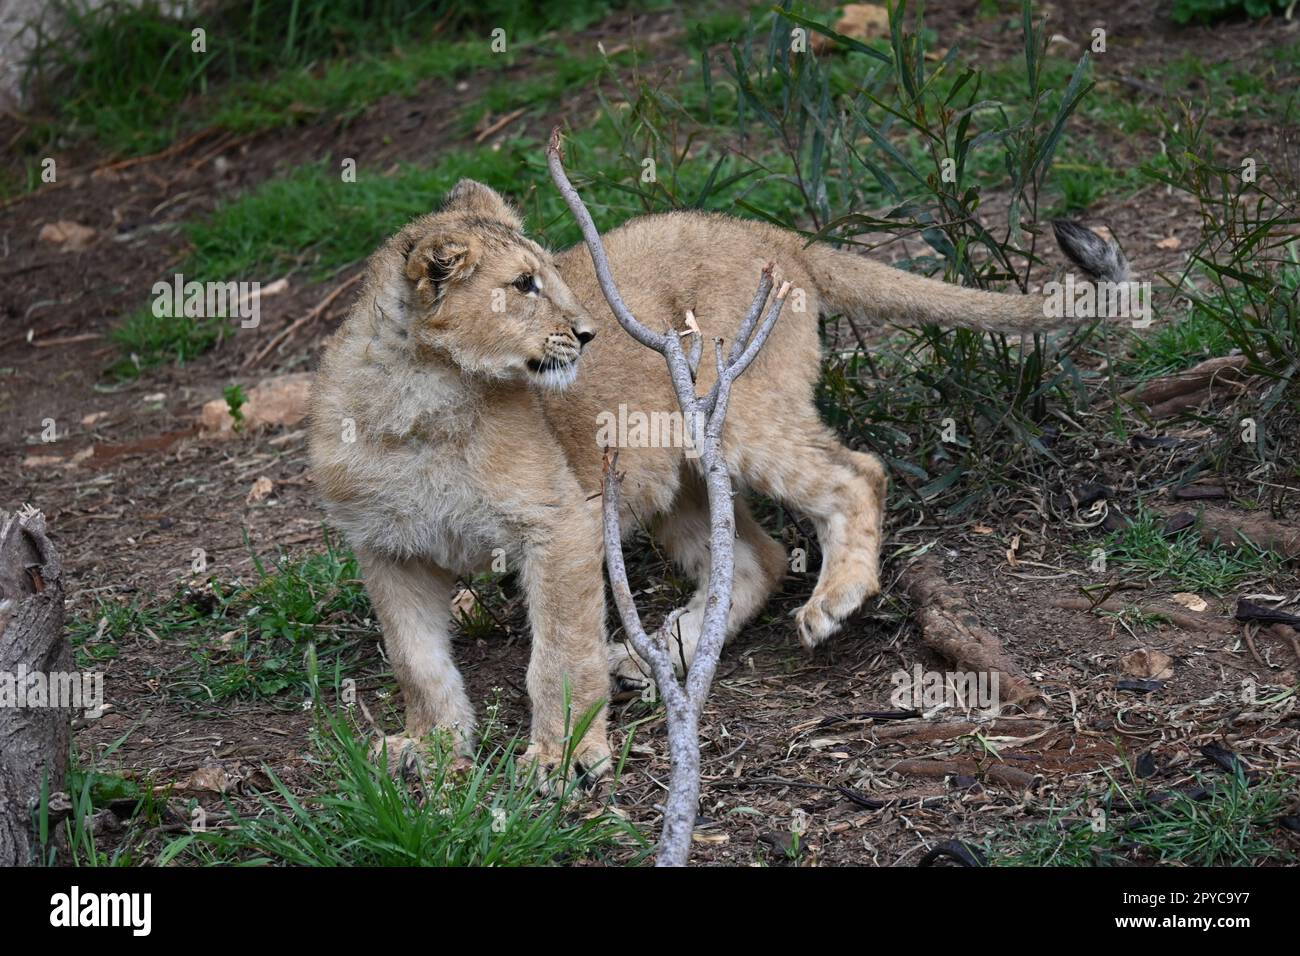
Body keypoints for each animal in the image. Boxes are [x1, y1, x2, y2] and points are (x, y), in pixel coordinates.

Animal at [308, 179, 1126, 776]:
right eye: (523, 285)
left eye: (549, 279)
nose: (588, 334)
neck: (420, 402)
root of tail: (773, 235)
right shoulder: (387, 552)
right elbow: (417, 663)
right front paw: (430, 747)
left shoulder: (560, 523)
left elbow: (560, 656)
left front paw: (564, 756)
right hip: (666, 474)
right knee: (759, 558)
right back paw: (662, 655)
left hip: (737, 414)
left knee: (856, 474)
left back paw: (831, 601)